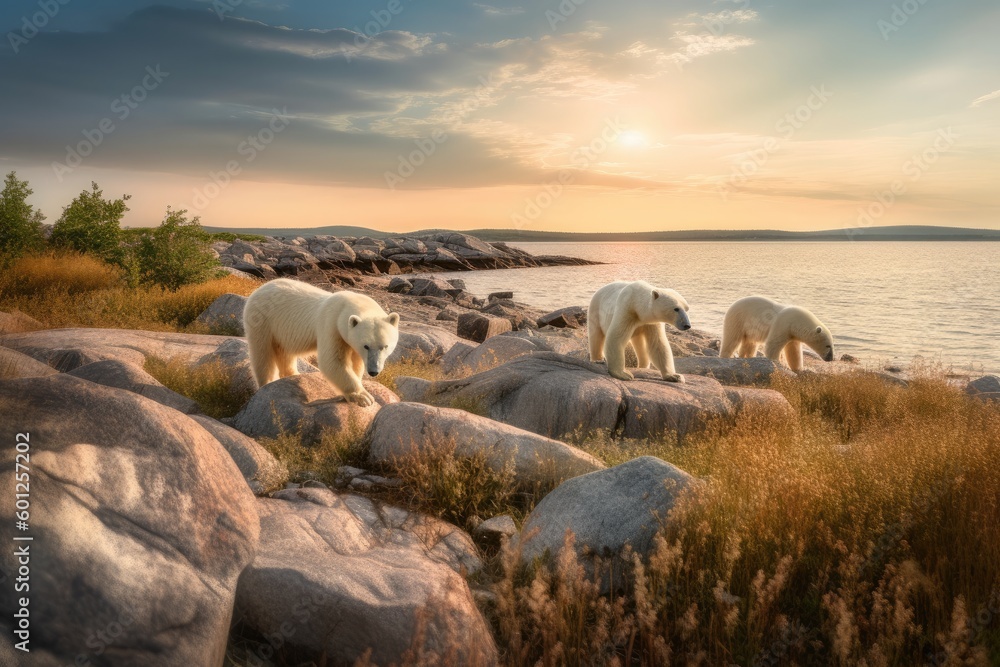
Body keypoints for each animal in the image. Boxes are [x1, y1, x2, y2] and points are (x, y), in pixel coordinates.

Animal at [243, 278, 400, 406]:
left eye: (385, 346)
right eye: (366, 346)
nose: (374, 371)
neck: (350, 303)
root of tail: (259, 289)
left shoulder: (349, 339)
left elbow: (355, 362)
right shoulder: (331, 324)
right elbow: (332, 361)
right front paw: (364, 397)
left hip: (281, 329)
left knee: (284, 351)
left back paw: (293, 374)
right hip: (262, 320)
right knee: (263, 355)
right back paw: (267, 382)